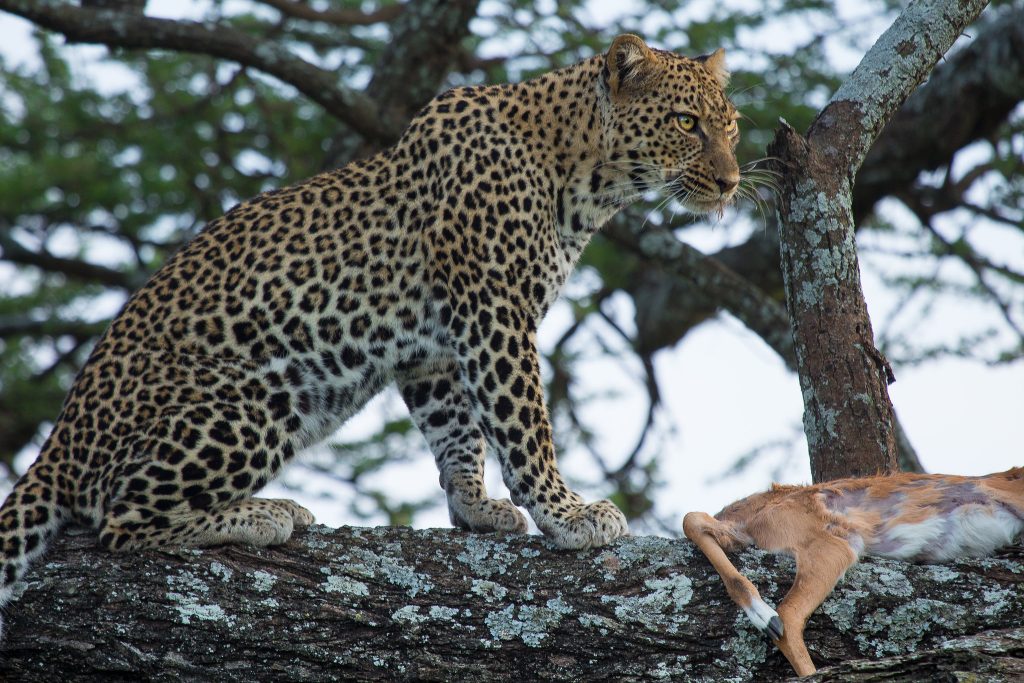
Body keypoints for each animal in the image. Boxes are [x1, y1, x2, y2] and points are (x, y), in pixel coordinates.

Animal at [0, 34, 740, 635]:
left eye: (730, 129)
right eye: (686, 123)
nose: (733, 181)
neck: (585, 178)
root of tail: (58, 442)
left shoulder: (436, 348)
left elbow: (457, 430)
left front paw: (476, 507)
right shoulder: (495, 313)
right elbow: (524, 425)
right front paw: (569, 514)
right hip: (260, 398)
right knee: (122, 521)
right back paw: (260, 512)